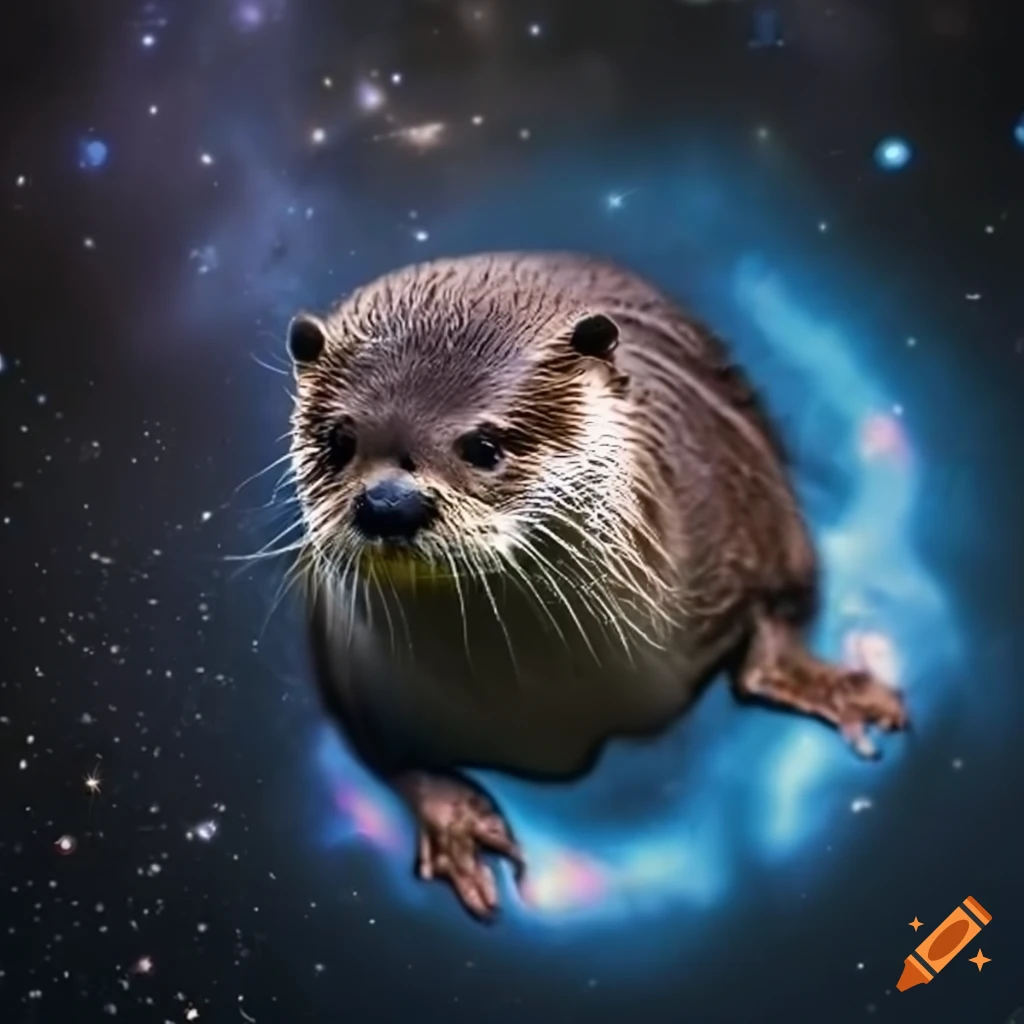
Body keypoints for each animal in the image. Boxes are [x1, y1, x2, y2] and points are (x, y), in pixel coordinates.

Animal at [285, 252, 907, 919]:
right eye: (339, 441)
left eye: (484, 446)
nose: (389, 503)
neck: (559, 693)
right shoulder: (351, 673)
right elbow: (390, 759)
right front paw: (456, 826)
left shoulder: (747, 504)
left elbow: (778, 614)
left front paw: (839, 688)